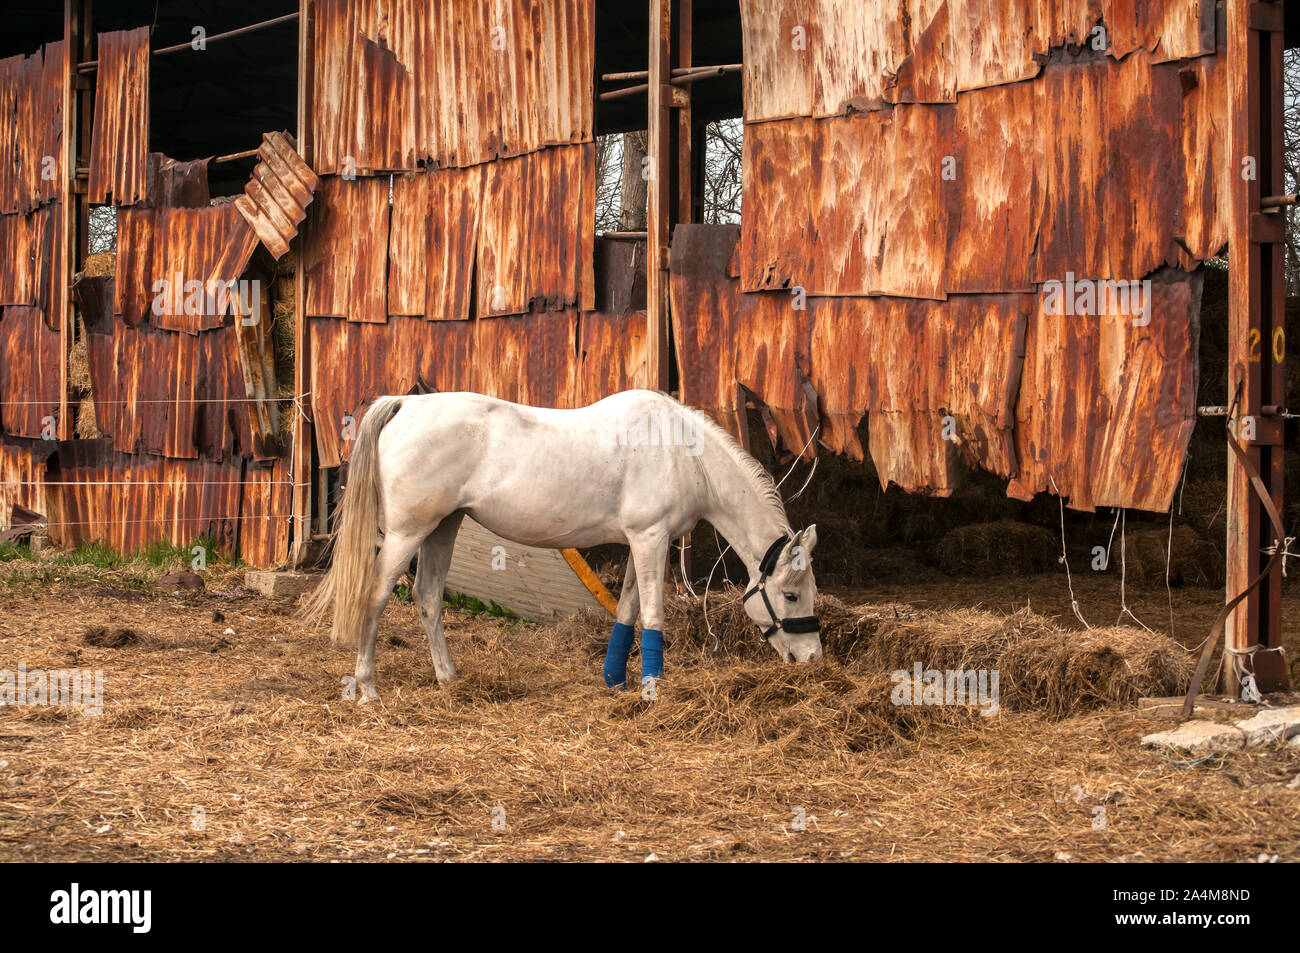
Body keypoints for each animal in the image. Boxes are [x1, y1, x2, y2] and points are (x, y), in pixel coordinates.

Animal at [302, 389, 822, 703]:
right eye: (791, 595)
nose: (813, 660)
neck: (682, 453)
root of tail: (405, 405)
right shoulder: (651, 539)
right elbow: (653, 614)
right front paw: (651, 690)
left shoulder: (639, 542)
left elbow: (627, 609)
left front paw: (615, 681)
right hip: (408, 532)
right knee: (375, 597)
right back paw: (368, 689)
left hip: (443, 527)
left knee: (428, 597)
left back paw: (448, 678)